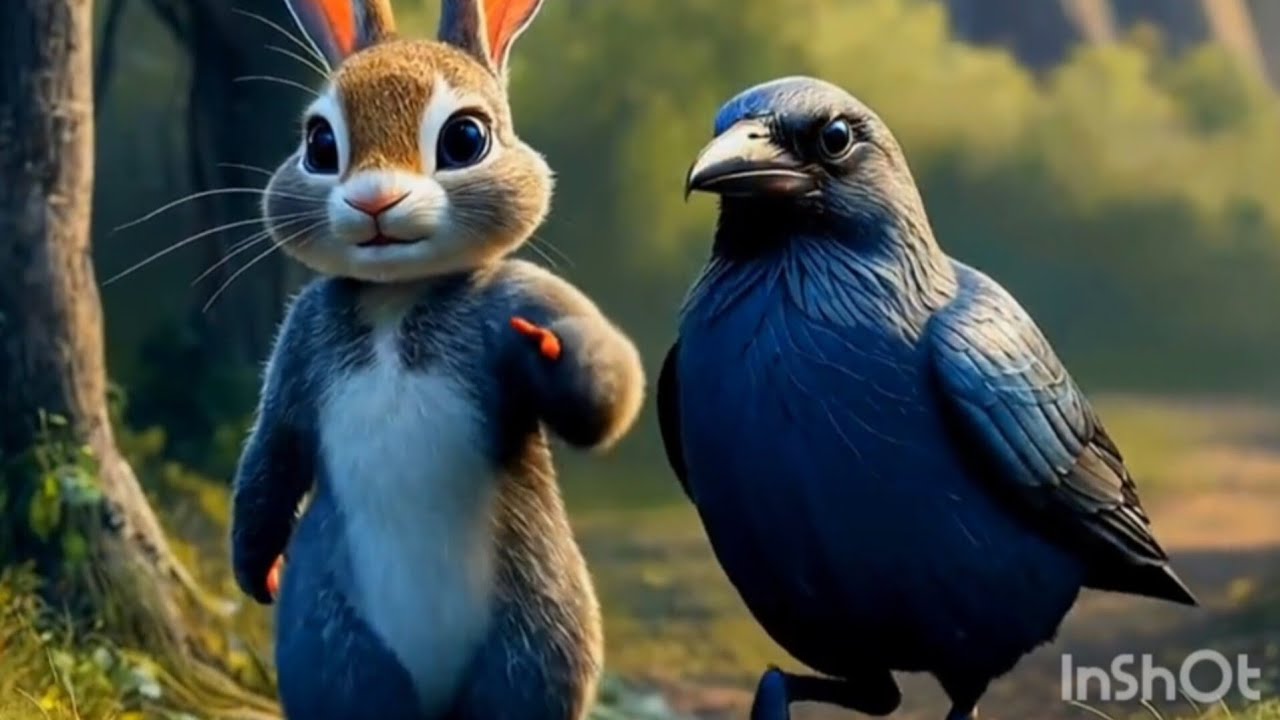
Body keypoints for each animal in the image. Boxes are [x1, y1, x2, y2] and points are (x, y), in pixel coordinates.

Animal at [227, 1, 646, 718]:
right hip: (335, 643)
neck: (399, 297)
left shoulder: (518, 292)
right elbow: (273, 448)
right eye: (320, 145)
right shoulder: (299, 341)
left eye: (465, 139)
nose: (374, 199)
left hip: (535, 634)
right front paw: (257, 572)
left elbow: (606, 397)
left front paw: (550, 346)